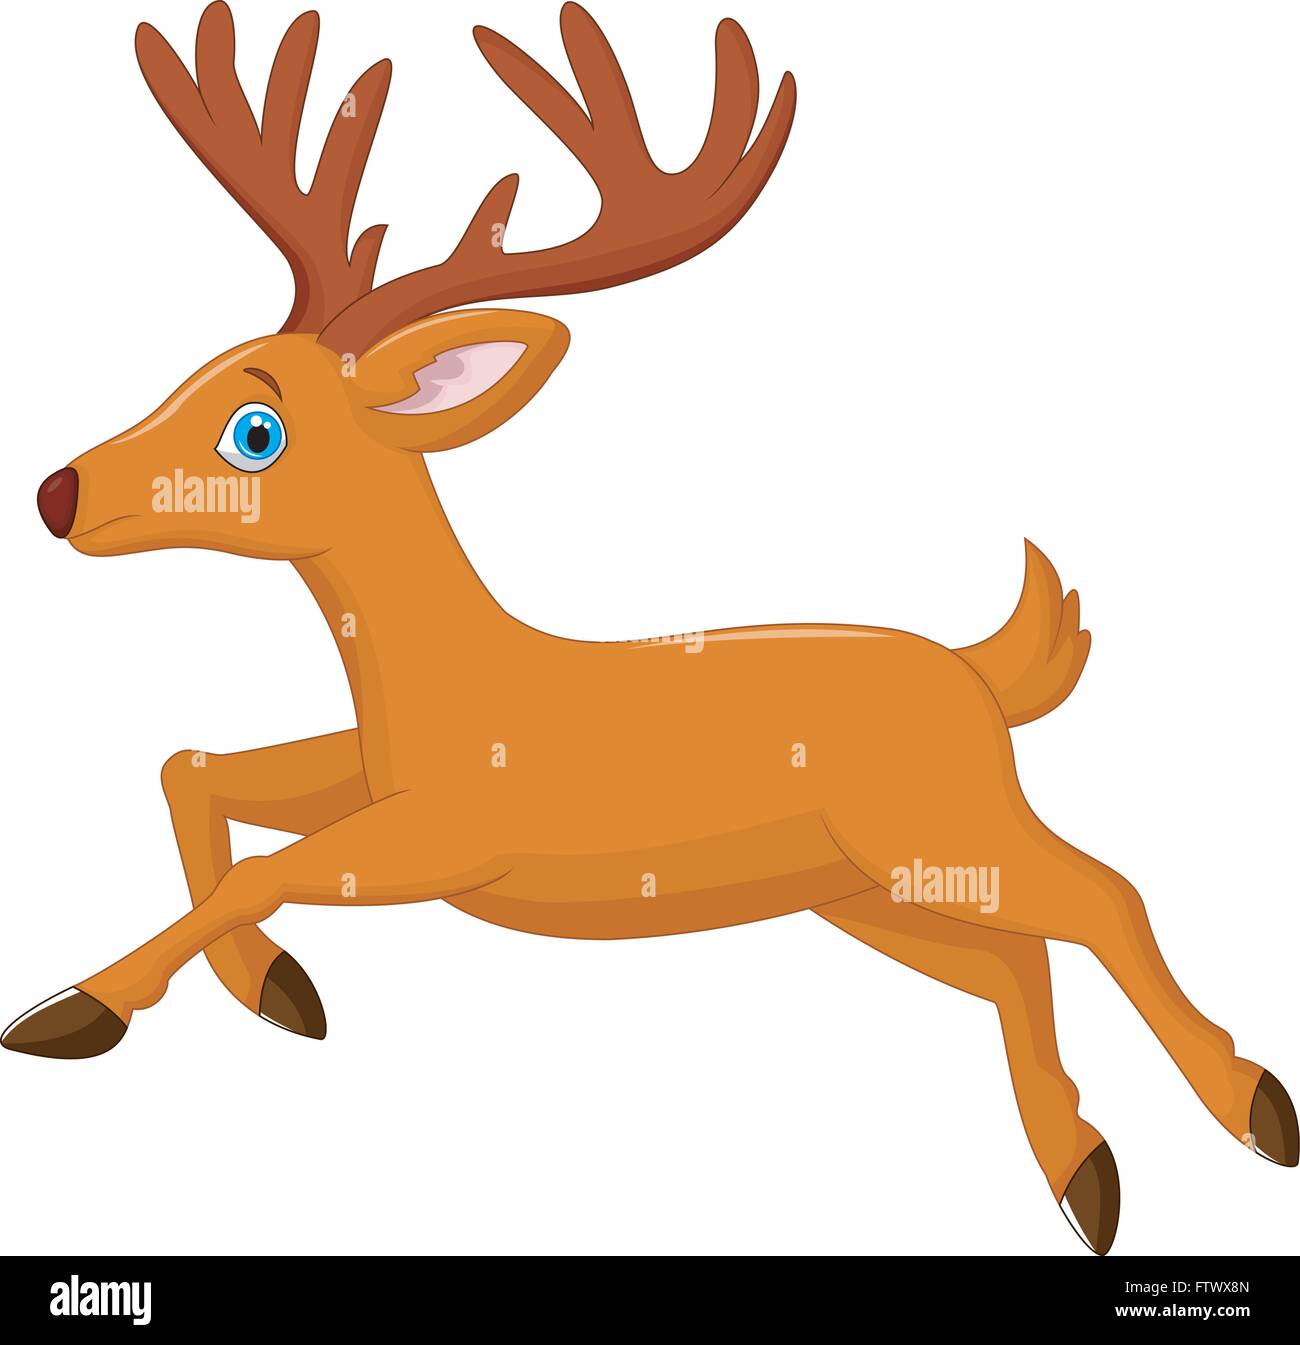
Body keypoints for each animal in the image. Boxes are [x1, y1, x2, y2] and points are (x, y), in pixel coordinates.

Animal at [6, 1, 1294, 1257]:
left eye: (256, 430)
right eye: (199, 364)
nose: (60, 492)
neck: (436, 690)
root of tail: (981, 673)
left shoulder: (460, 831)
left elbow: (260, 867)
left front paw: (74, 1010)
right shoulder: (368, 780)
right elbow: (192, 768)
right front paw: (274, 988)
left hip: (939, 820)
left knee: (1105, 893)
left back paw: (1254, 1108)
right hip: (864, 885)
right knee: (1012, 957)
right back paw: (1084, 1171)